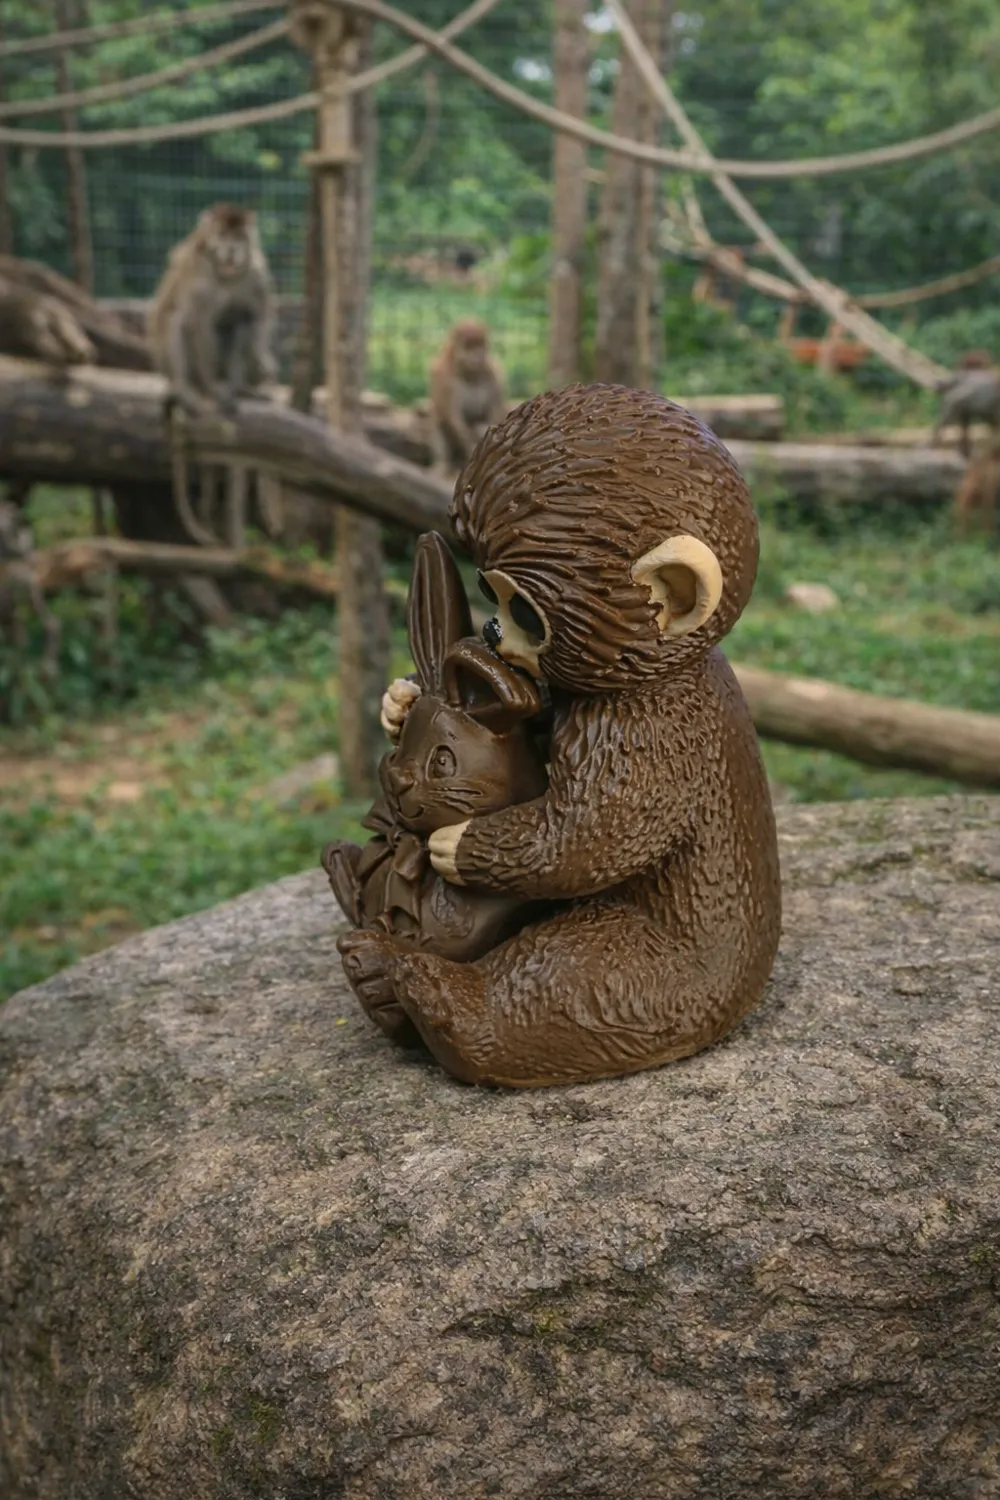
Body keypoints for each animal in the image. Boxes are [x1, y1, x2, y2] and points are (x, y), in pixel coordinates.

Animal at [148, 204, 277, 419]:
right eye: (223, 234)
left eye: (239, 236)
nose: (232, 249)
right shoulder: (199, 276)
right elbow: (200, 323)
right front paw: (212, 389)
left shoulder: (257, 273)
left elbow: (259, 313)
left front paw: (261, 360)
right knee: (175, 320)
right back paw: (187, 389)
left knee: (241, 318)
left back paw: (240, 388)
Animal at [427, 320, 507, 476]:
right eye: (468, 346)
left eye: (480, 345)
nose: (477, 355)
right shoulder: (445, 378)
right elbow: (456, 420)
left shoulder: (494, 372)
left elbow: (495, 414)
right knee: (438, 424)